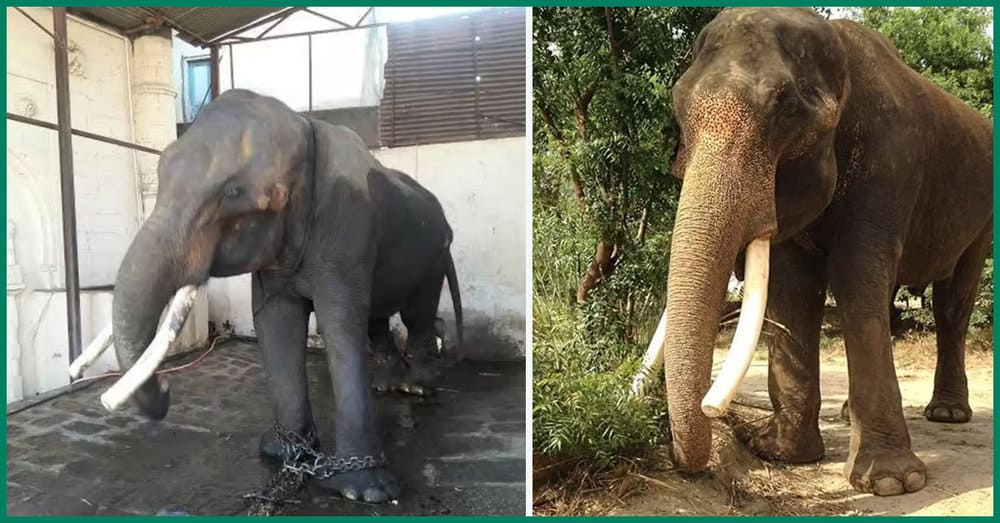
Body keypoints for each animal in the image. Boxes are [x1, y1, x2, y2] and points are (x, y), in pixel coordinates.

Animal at [108, 89, 463, 503]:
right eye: (161, 171)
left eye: (233, 193)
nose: (165, 388)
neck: (303, 127)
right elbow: (276, 322)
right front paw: (285, 453)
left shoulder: (345, 228)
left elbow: (340, 325)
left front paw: (368, 493)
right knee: (378, 322)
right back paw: (387, 386)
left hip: (433, 254)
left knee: (417, 315)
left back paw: (416, 388)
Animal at [650, 8, 991, 497]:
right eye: (677, 108)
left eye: (785, 107)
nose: (713, 415)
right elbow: (793, 287)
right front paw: (779, 452)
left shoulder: (891, 164)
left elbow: (855, 273)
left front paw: (892, 483)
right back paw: (849, 414)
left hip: (981, 215)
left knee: (952, 301)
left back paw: (947, 415)